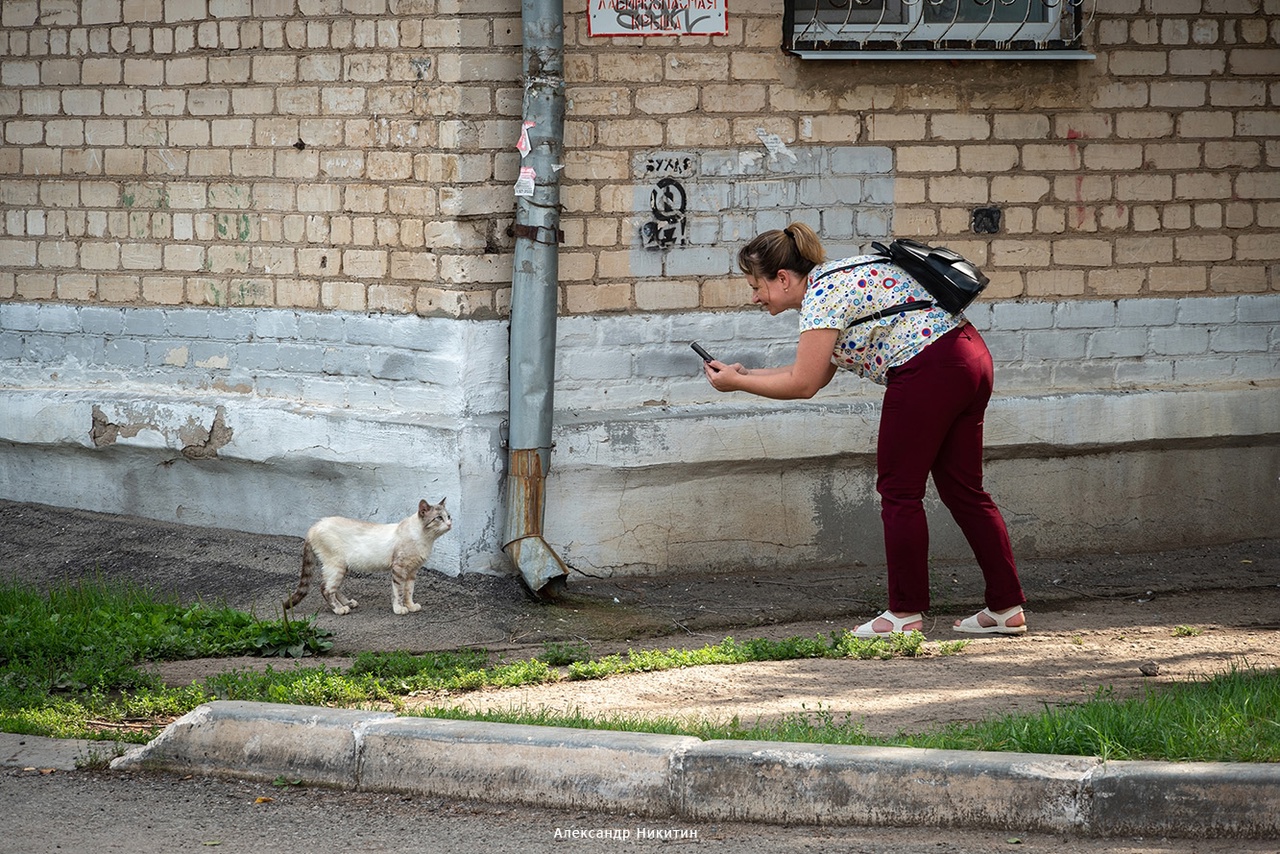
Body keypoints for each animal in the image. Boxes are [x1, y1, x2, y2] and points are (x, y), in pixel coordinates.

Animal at [284, 496, 450, 617]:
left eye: (449, 516)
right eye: (438, 518)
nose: (449, 524)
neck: (425, 540)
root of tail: (315, 525)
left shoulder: (412, 571)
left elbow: (409, 591)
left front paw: (410, 605)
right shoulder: (399, 568)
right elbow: (398, 591)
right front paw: (399, 608)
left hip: (342, 567)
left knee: (333, 587)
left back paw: (347, 603)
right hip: (336, 565)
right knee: (325, 588)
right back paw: (340, 609)